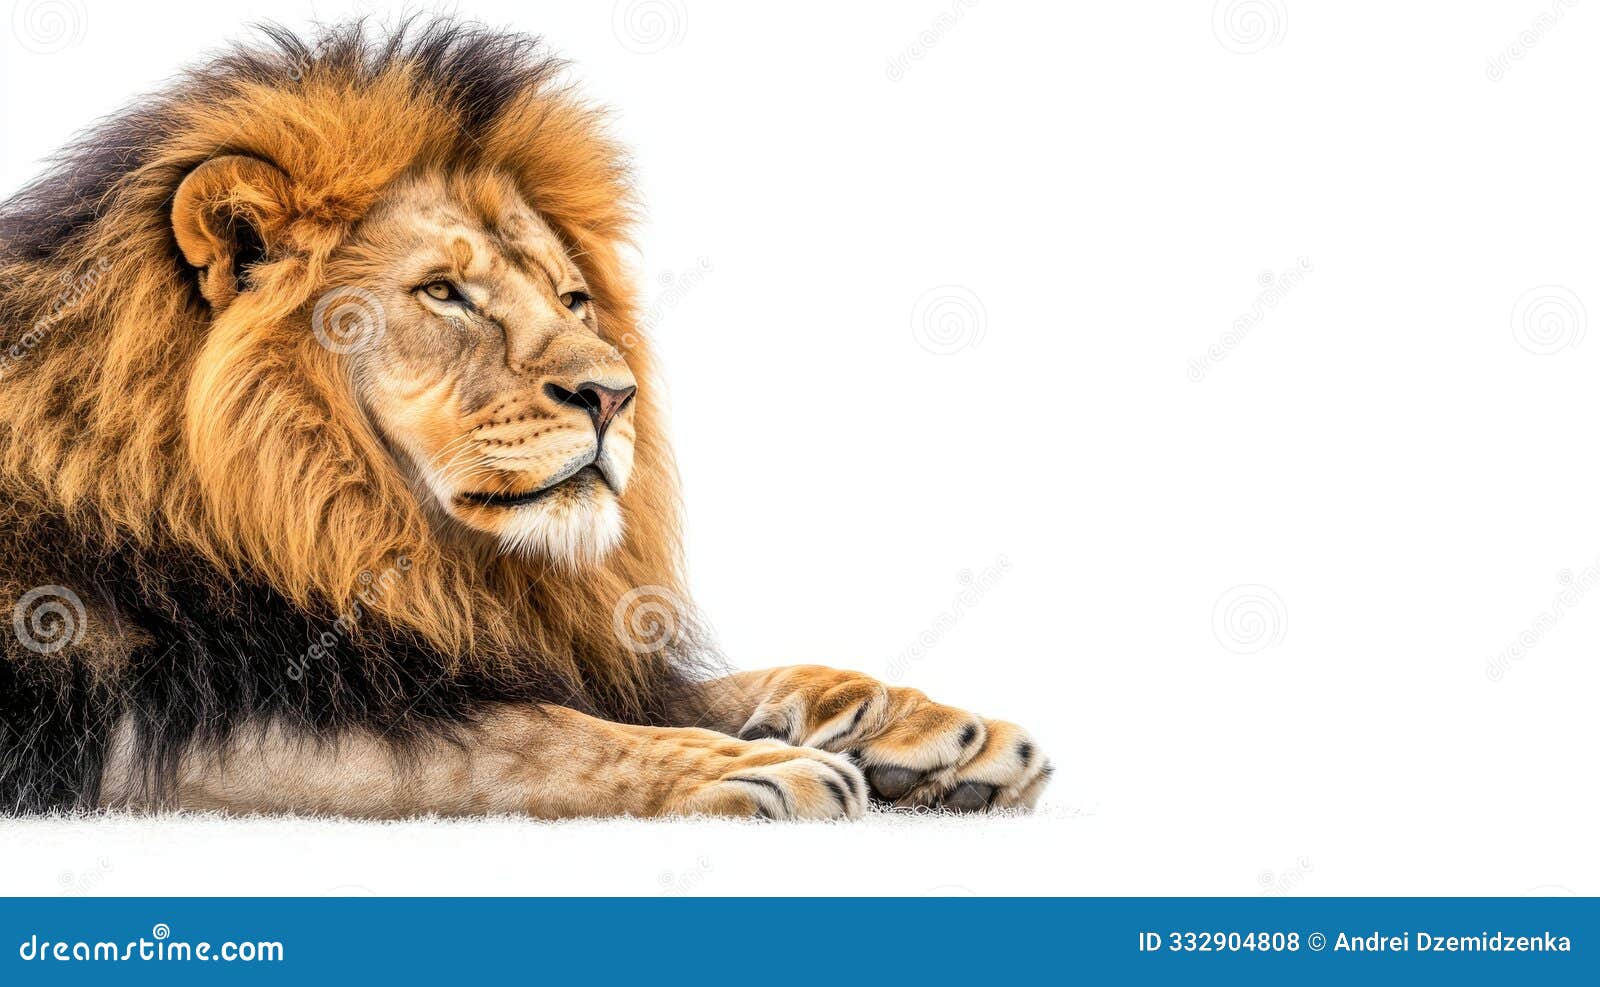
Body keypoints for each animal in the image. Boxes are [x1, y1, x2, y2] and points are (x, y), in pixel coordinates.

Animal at [0, 19, 1050, 819]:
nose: (614, 395)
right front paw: (750, 763)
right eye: (445, 293)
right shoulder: (158, 728)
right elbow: (521, 737)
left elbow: (636, 689)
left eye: (574, 299)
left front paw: (926, 727)